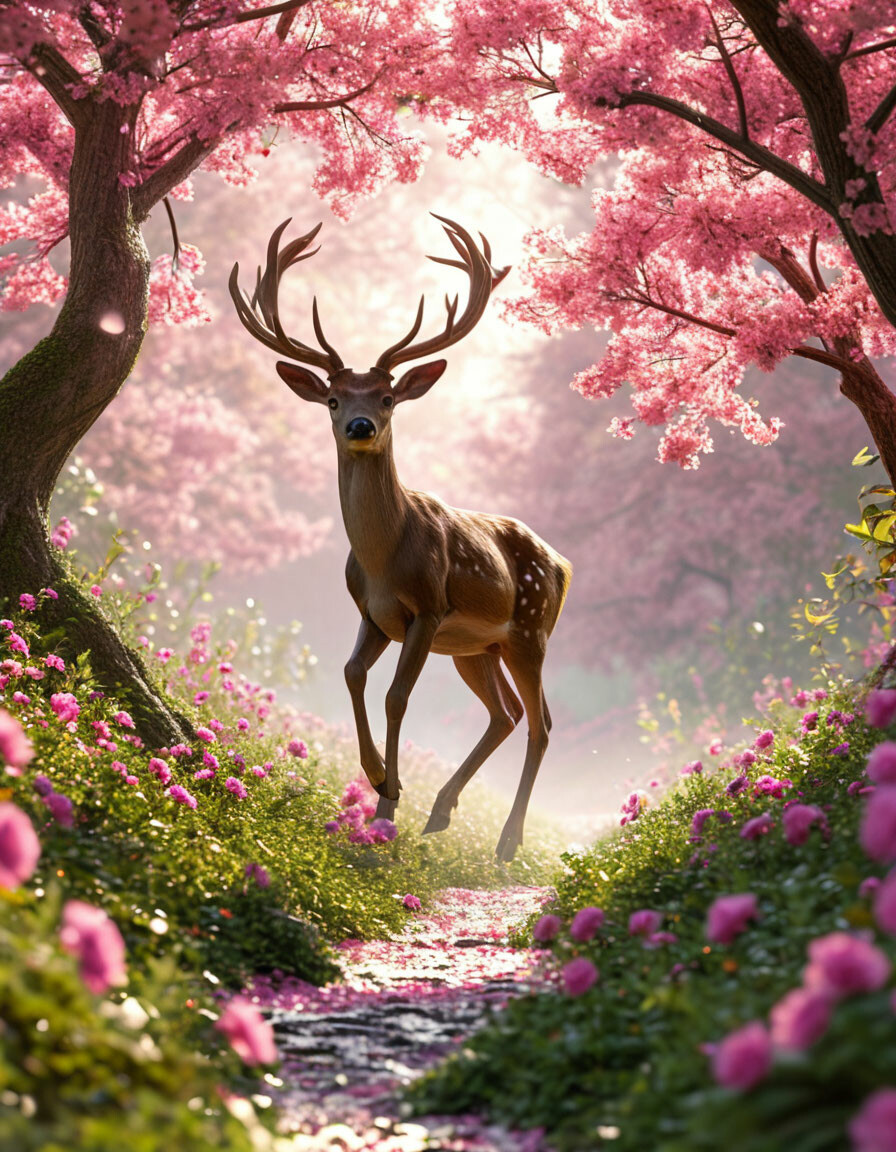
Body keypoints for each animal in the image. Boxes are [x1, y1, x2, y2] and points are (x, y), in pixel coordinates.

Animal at [229, 215, 572, 861]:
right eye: (333, 398)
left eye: (387, 397)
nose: (361, 425)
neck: (385, 561)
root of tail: (563, 563)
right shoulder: (373, 612)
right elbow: (351, 673)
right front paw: (380, 779)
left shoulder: (429, 608)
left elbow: (395, 696)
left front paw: (386, 807)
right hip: (476, 648)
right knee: (507, 714)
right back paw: (440, 811)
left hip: (529, 629)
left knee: (540, 720)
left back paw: (507, 840)